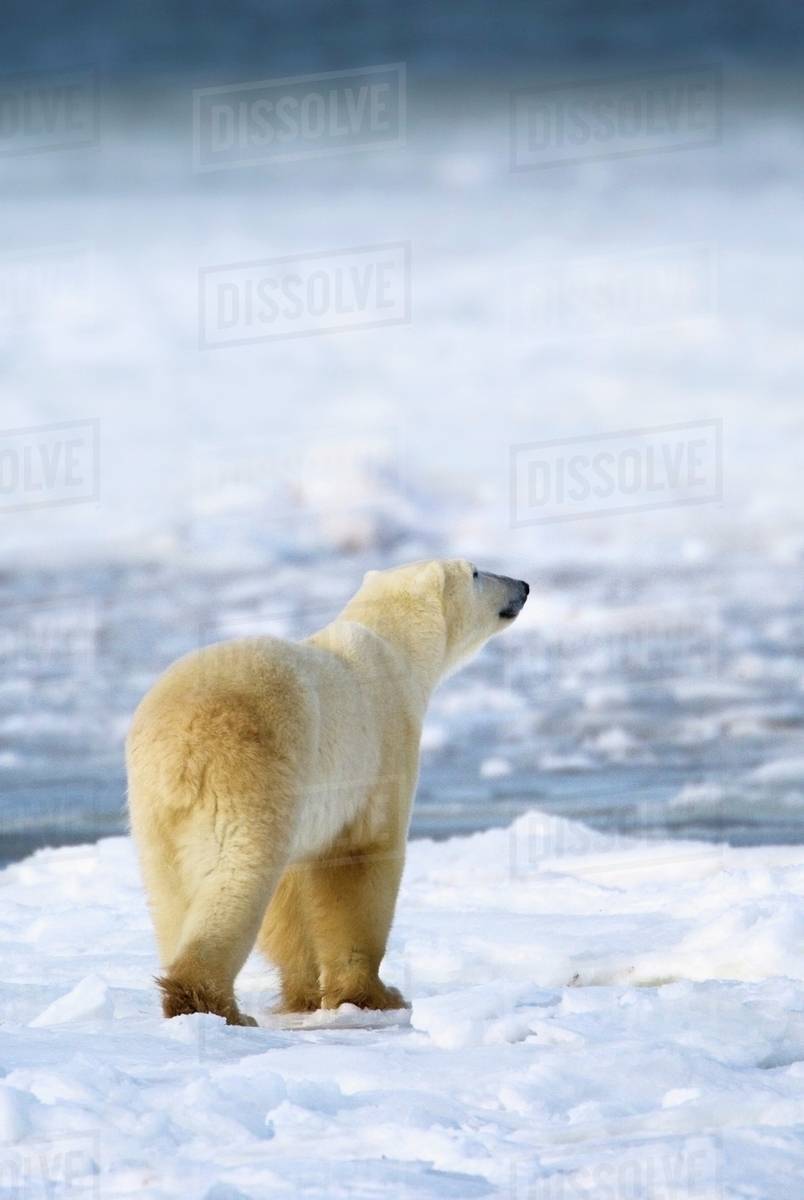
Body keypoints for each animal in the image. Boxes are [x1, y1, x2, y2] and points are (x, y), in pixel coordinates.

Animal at [126, 559, 529, 1025]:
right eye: (478, 572)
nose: (523, 585)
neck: (394, 648)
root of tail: (179, 742)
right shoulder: (382, 747)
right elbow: (361, 862)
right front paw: (377, 995)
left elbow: (292, 892)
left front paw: (303, 994)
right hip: (245, 773)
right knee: (234, 879)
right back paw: (213, 1003)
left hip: (153, 812)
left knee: (170, 895)